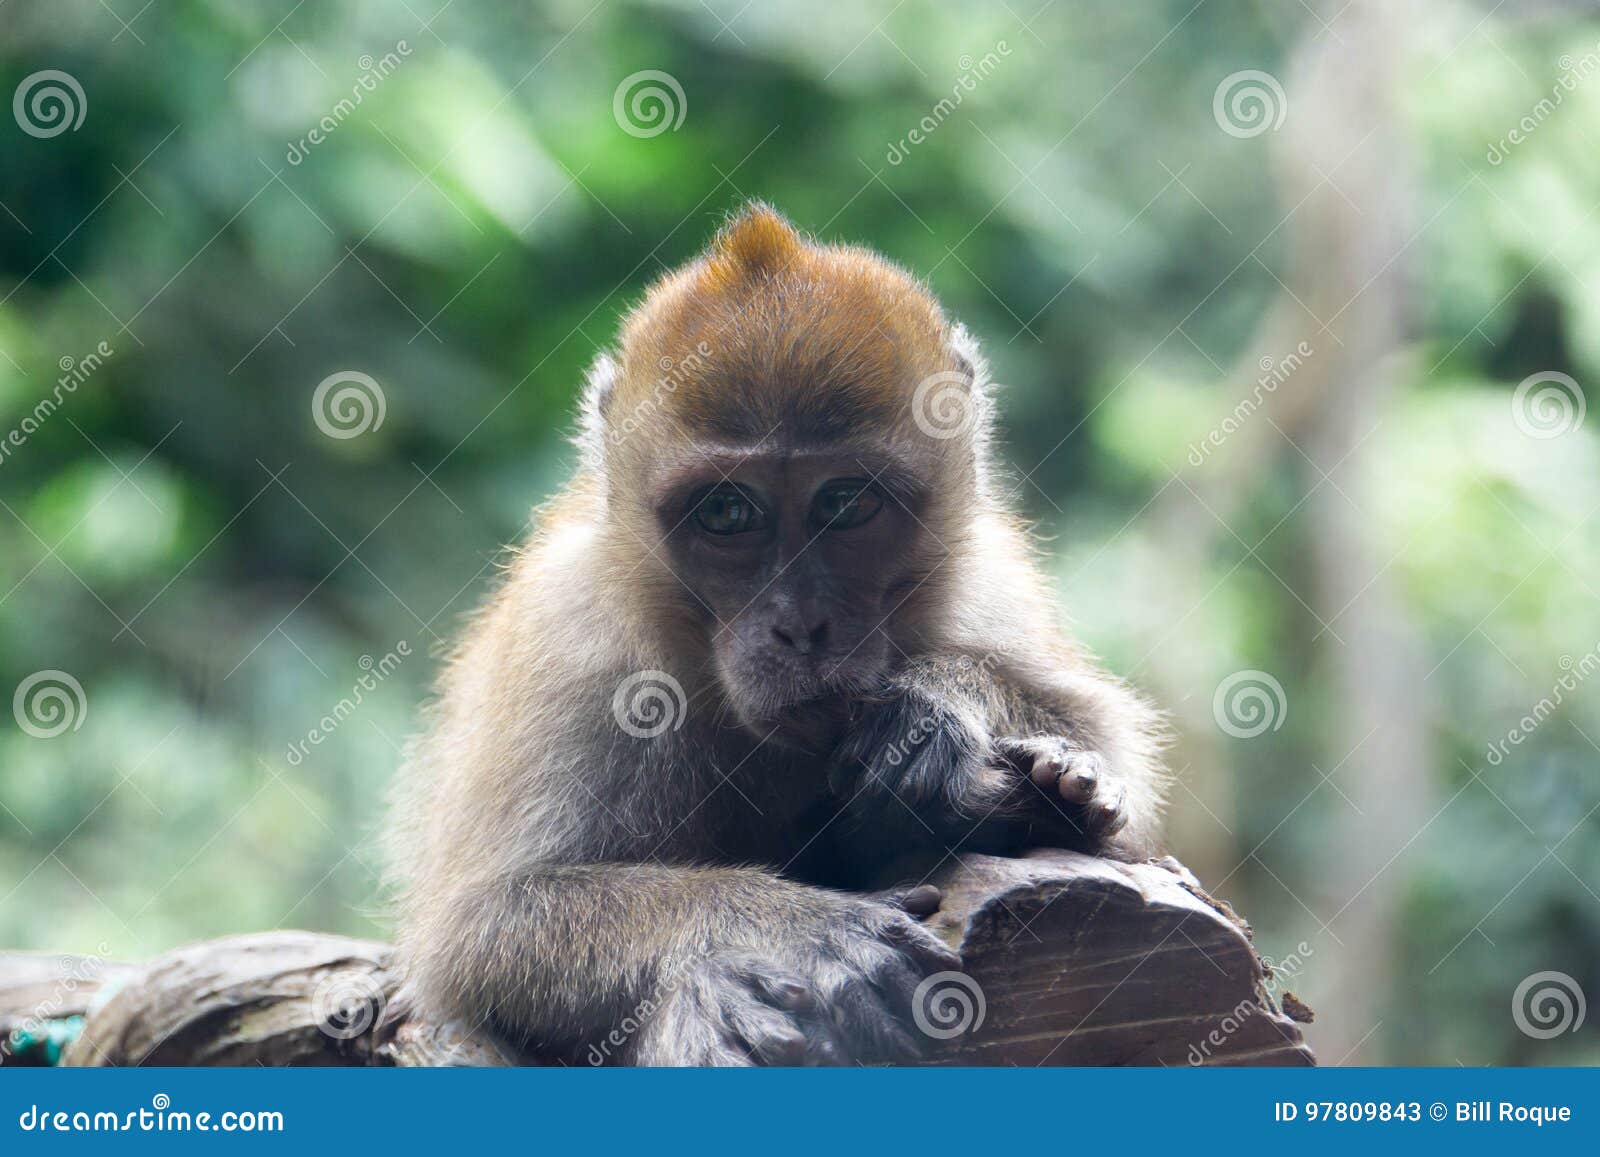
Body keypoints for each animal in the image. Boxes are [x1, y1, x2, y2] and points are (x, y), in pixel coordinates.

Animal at [385, 203, 1168, 1066]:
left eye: (846, 502)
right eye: (728, 511)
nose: (800, 626)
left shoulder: (989, 581)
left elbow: (1111, 742)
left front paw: (955, 717)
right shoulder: (573, 635)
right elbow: (485, 925)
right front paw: (795, 931)